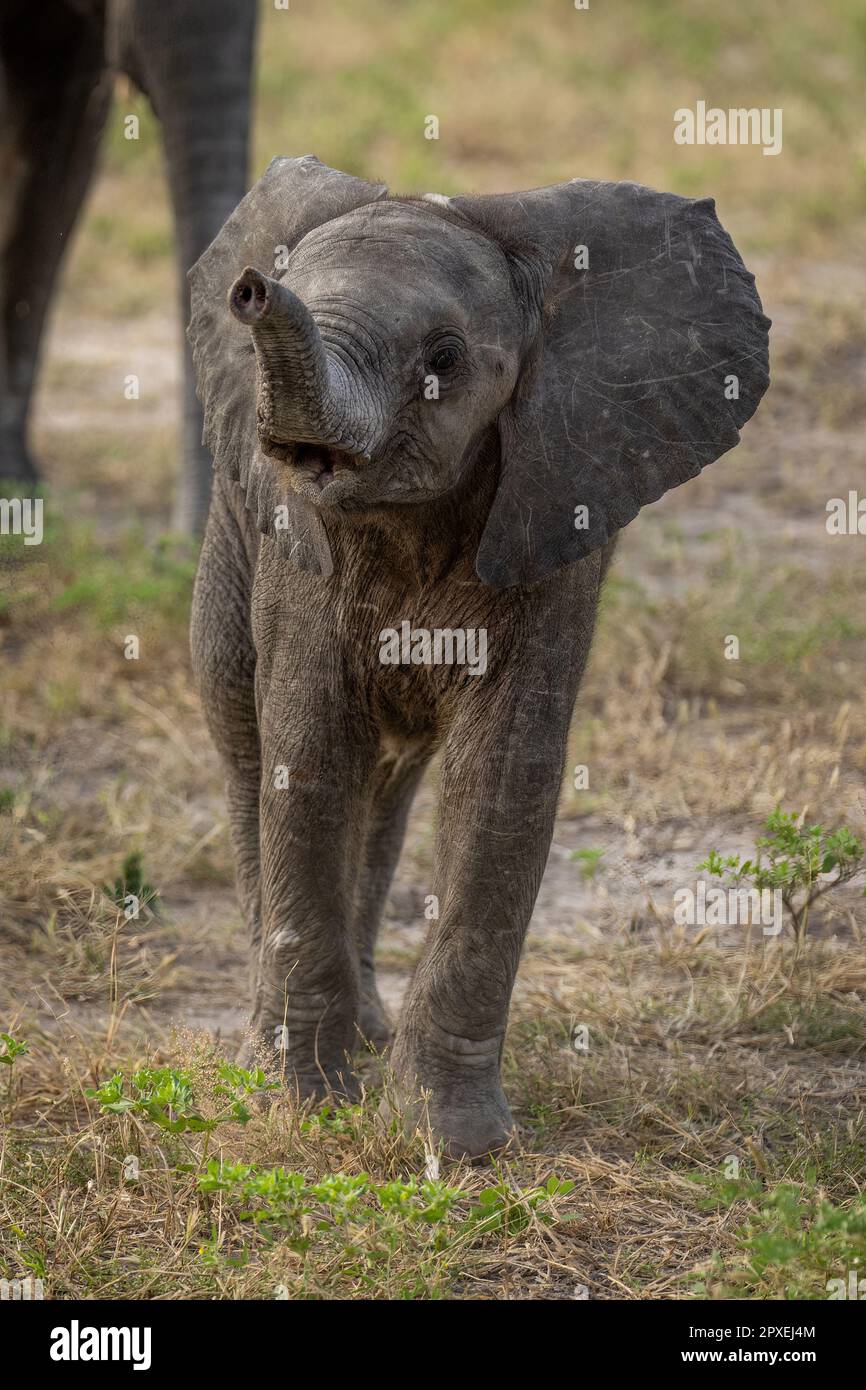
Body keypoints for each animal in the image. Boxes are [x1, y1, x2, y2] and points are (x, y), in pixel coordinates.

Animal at [188, 156, 770, 1158]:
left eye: (446, 359)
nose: (254, 288)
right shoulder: (296, 542)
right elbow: (307, 746)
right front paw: (300, 1109)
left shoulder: (563, 505)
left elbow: (504, 772)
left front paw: (454, 1146)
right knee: (248, 741)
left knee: (389, 784)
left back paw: (369, 1034)